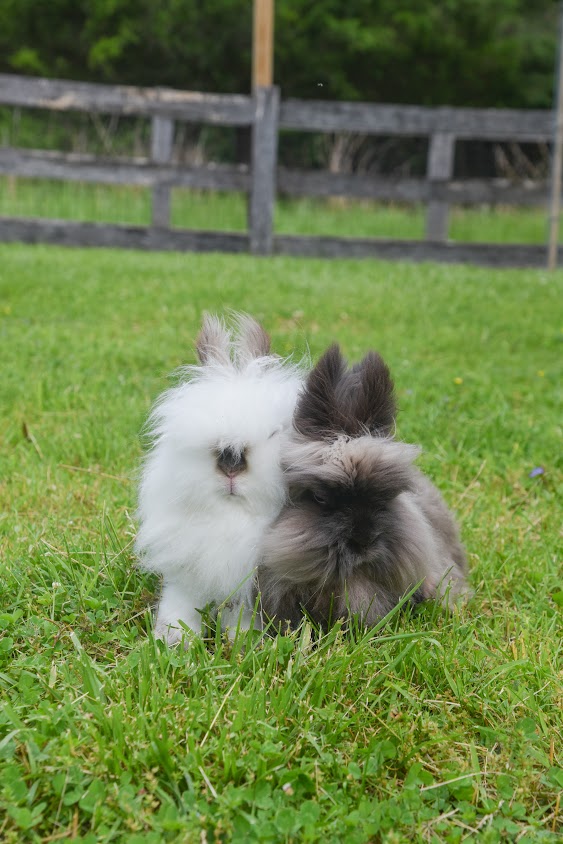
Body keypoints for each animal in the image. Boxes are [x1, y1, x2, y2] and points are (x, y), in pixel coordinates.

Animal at [135, 313, 304, 643]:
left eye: (274, 433)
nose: (231, 462)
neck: (231, 517)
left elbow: (242, 617)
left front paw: (245, 642)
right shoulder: (184, 575)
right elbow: (178, 608)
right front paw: (172, 641)